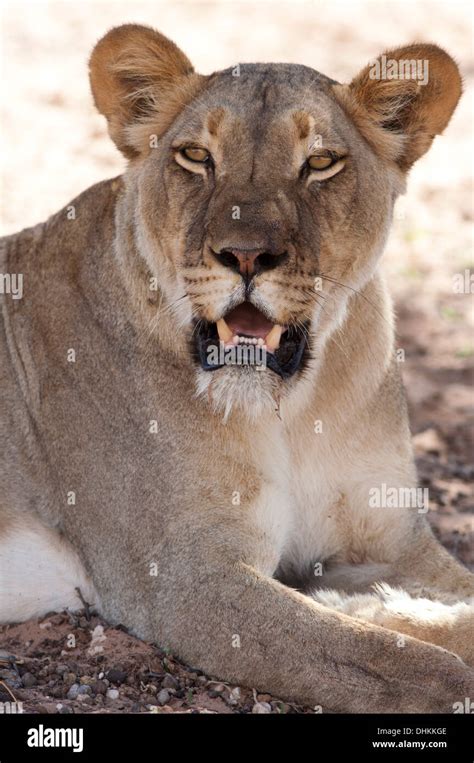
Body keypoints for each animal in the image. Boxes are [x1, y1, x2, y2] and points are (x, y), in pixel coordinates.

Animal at [1, 24, 473, 713]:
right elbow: (401, 665)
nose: (246, 255)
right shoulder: (185, 578)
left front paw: (370, 605)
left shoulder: (394, 539)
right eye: (197, 156)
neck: (296, 410)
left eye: (320, 163)